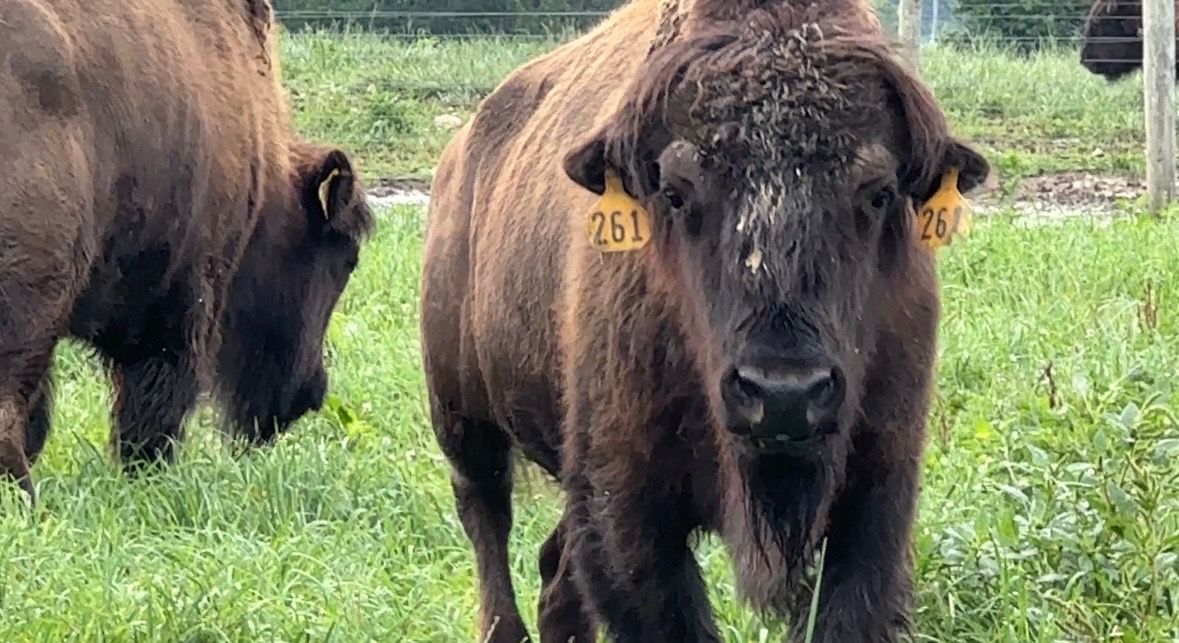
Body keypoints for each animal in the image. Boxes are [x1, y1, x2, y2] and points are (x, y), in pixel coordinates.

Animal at [421, 0, 989, 641]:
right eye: (675, 190)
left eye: (878, 191)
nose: (783, 394)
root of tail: (463, 152)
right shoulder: (630, 510)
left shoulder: (874, 502)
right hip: (462, 418)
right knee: (488, 523)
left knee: (555, 576)